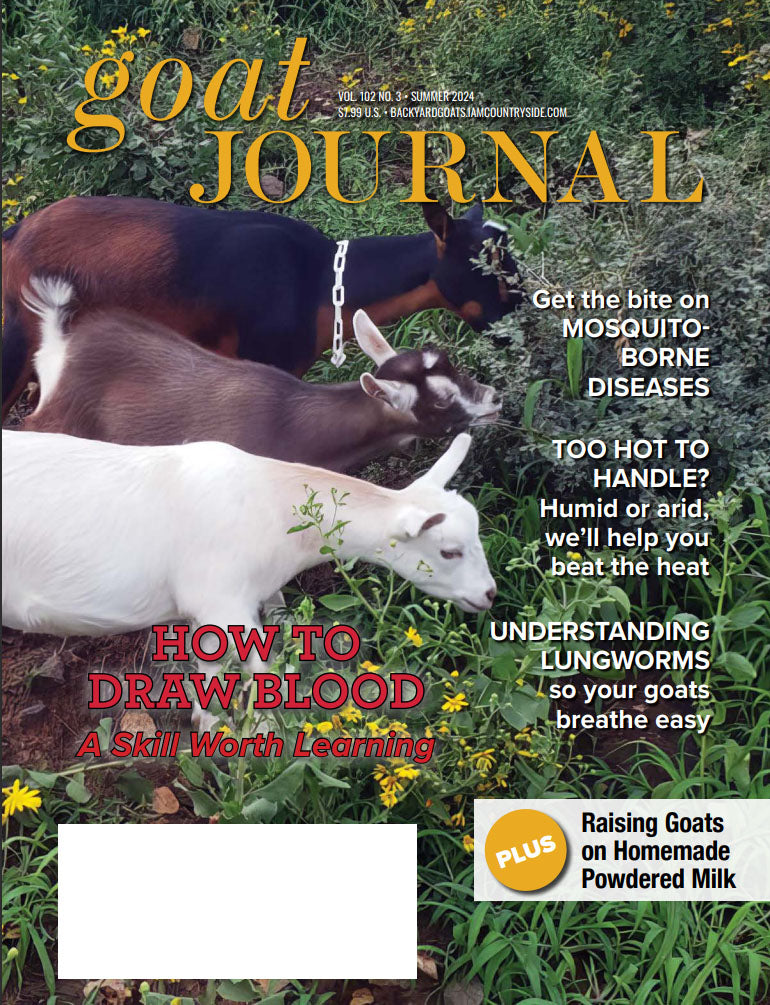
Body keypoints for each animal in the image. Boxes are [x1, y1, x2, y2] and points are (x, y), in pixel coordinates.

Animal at [2, 429, 496, 726]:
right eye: (449, 551)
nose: (489, 594)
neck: (271, 506)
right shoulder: (223, 603)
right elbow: (259, 673)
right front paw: (263, 733)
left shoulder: (207, 612)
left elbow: (212, 670)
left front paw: (208, 724)